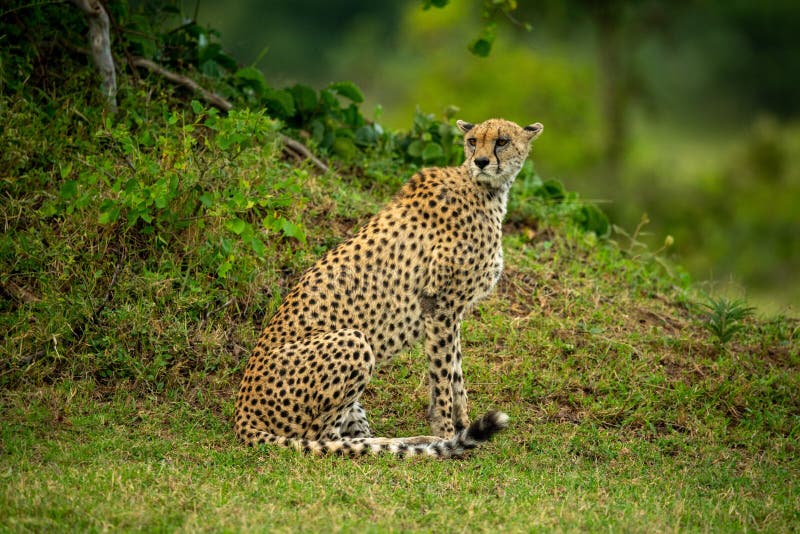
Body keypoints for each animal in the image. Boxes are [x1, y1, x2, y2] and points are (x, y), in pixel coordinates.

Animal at [234, 118, 544, 458]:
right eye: (473, 141)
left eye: (502, 141)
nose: (481, 162)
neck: (485, 190)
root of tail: (241, 414)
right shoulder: (439, 306)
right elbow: (443, 376)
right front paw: (449, 435)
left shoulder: (453, 311)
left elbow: (457, 372)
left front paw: (462, 425)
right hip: (353, 341)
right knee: (324, 438)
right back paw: (420, 444)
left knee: (348, 436)